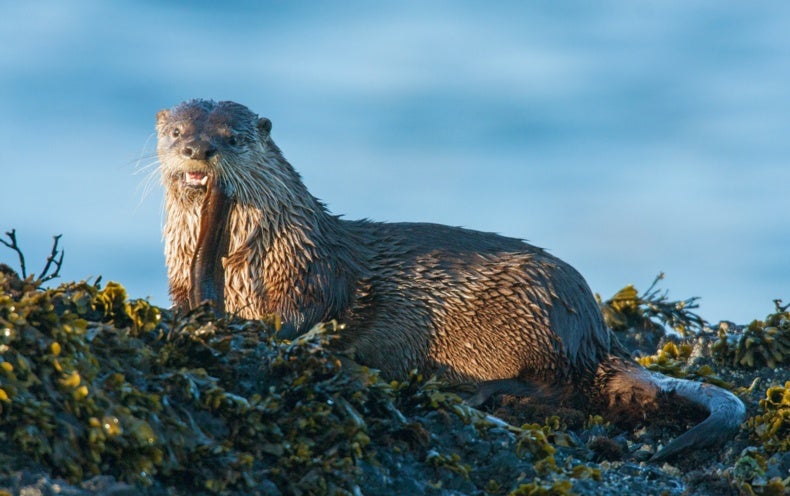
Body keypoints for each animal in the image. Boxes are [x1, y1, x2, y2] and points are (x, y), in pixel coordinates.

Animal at [156, 99, 745, 461]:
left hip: (536, 317)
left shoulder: (310, 273)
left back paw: (482, 391)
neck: (249, 258)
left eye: (232, 138)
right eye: (178, 132)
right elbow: (184, 305)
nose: (199, 151)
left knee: (562, 390)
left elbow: (307, 317)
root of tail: (596, 337)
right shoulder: (183, 277)